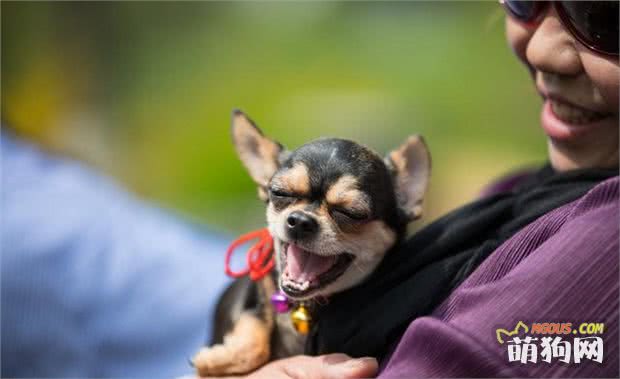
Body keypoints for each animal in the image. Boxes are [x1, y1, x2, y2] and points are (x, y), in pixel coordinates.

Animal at [194, 110, 432, 378]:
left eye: (351, 213)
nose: (300, 221)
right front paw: (222, 358)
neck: (305, 305)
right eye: (280, 193)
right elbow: (255, 322)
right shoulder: (256, 288)